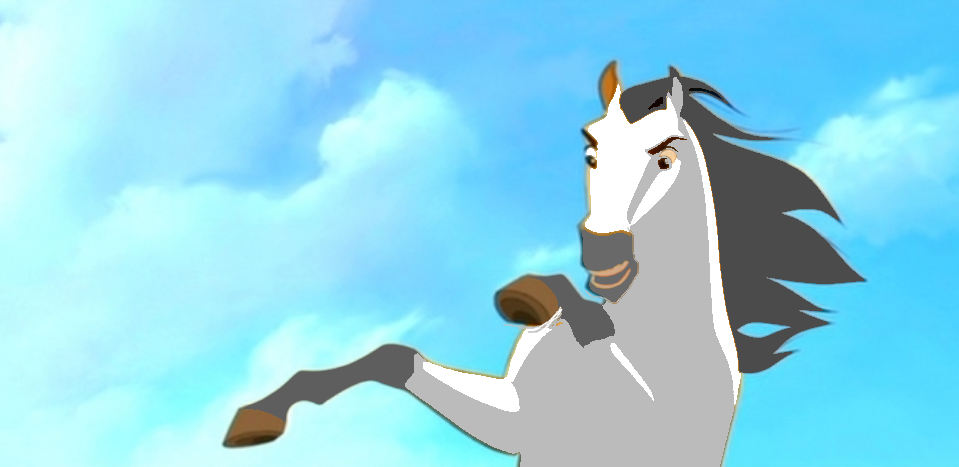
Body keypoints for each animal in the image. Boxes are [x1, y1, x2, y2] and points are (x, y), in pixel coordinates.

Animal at [223, 62, 864, 466]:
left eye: (666, 157)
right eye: (590, 151)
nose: (603, 255)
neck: (647, 341)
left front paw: (535, 298)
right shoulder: (515, 416)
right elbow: (393, 357)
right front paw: (257, 417)